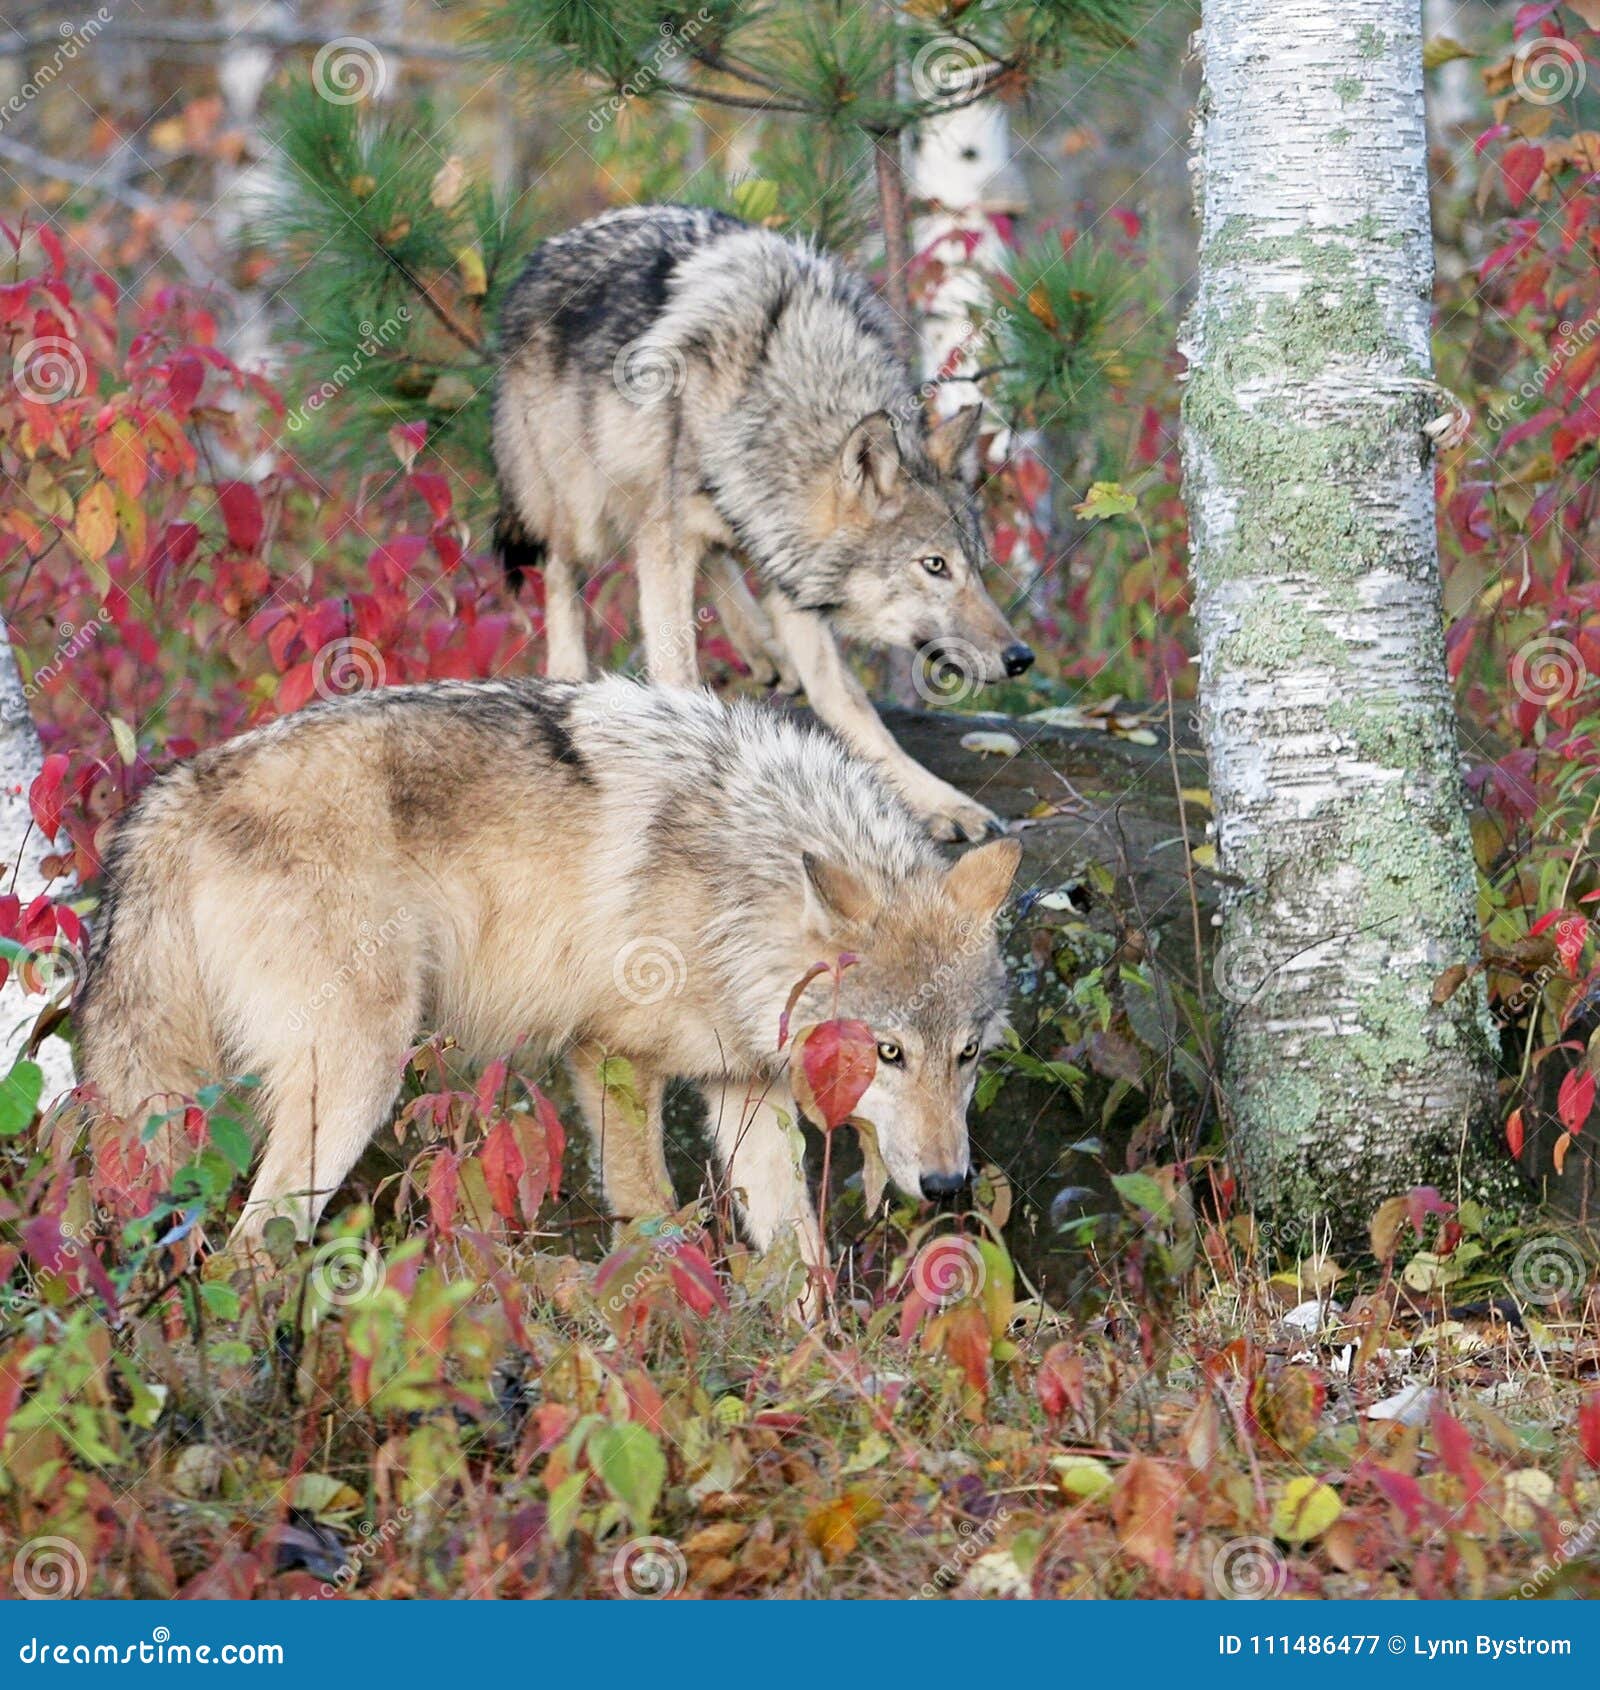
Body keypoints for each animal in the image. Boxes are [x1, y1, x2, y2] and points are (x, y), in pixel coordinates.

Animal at [77, 679, 1020, 1274]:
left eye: (967, 1055)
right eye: (889, 1053)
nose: (949, 1186)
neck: (740, 883)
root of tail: (175, 792)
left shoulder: (739, 1081)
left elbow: (799, 1250)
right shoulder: (610, 1056)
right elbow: (653, 1213)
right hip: (353, 1080)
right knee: (254, 1241)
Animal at [491, 205, 1034, 844]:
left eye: (977, 565)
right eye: (934, 566)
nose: (1020, 657)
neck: (774, 402)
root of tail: (541, 253)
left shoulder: (788, 566)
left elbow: (851, 705)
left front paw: (938, 801)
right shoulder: (668, 535)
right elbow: (677, 661)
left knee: (722, 556)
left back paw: (763, 649)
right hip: (583, 506)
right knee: (560, 571)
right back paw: (569, 674)